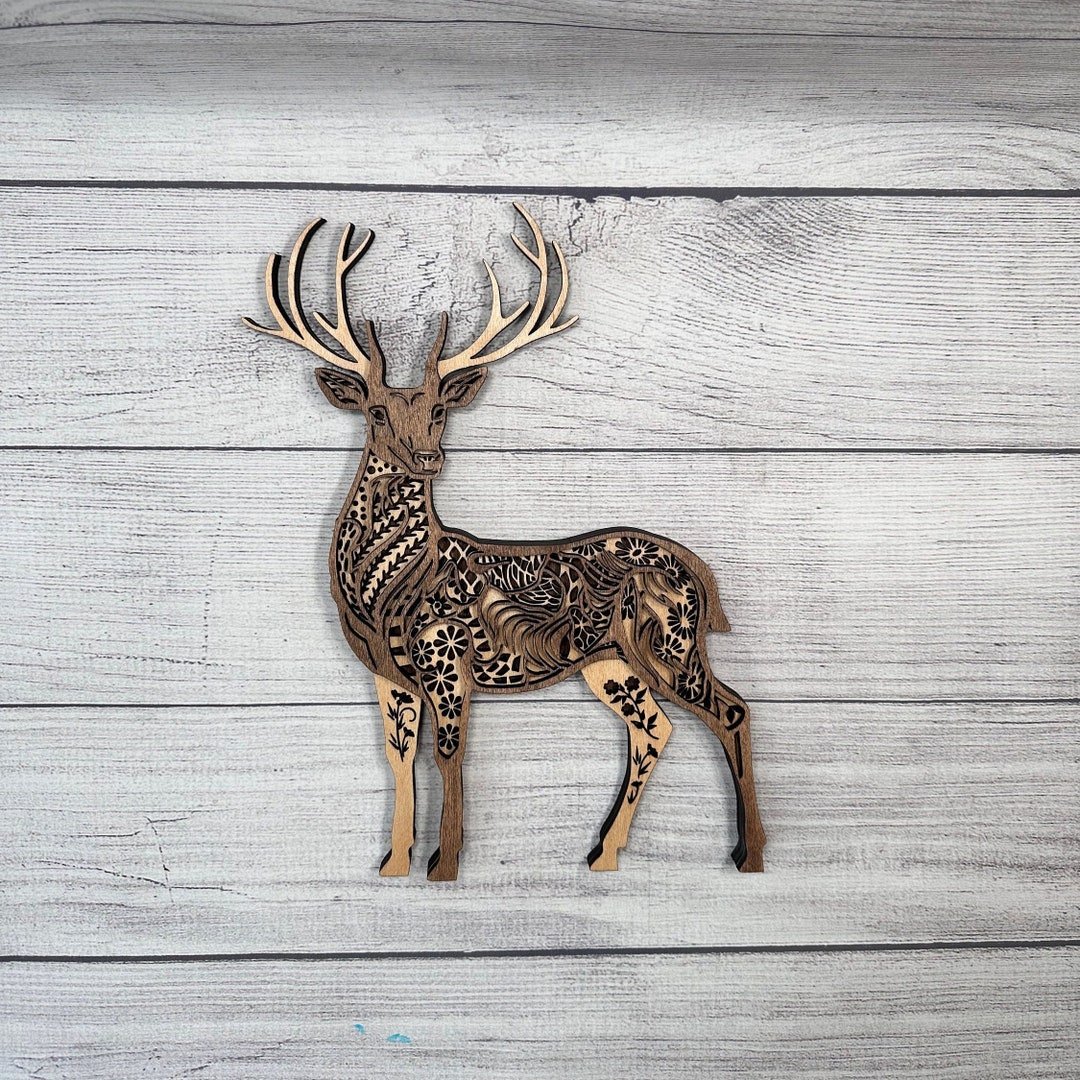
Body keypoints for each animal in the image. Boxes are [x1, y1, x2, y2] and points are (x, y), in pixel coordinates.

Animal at [243, 204, 766, 881]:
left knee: (731, 711)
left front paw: (443, 864)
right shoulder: (387, 672)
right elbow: (398, 755)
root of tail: (701, 576)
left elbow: (447, 754)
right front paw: (394, 862)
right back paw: (603, 851)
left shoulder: (446, 655)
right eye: (377, 413)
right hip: (608, 661)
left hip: (671, 640)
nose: (428, 457)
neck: (384, 592)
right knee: (653, 729)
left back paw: (747, 852)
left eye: (439, 411)